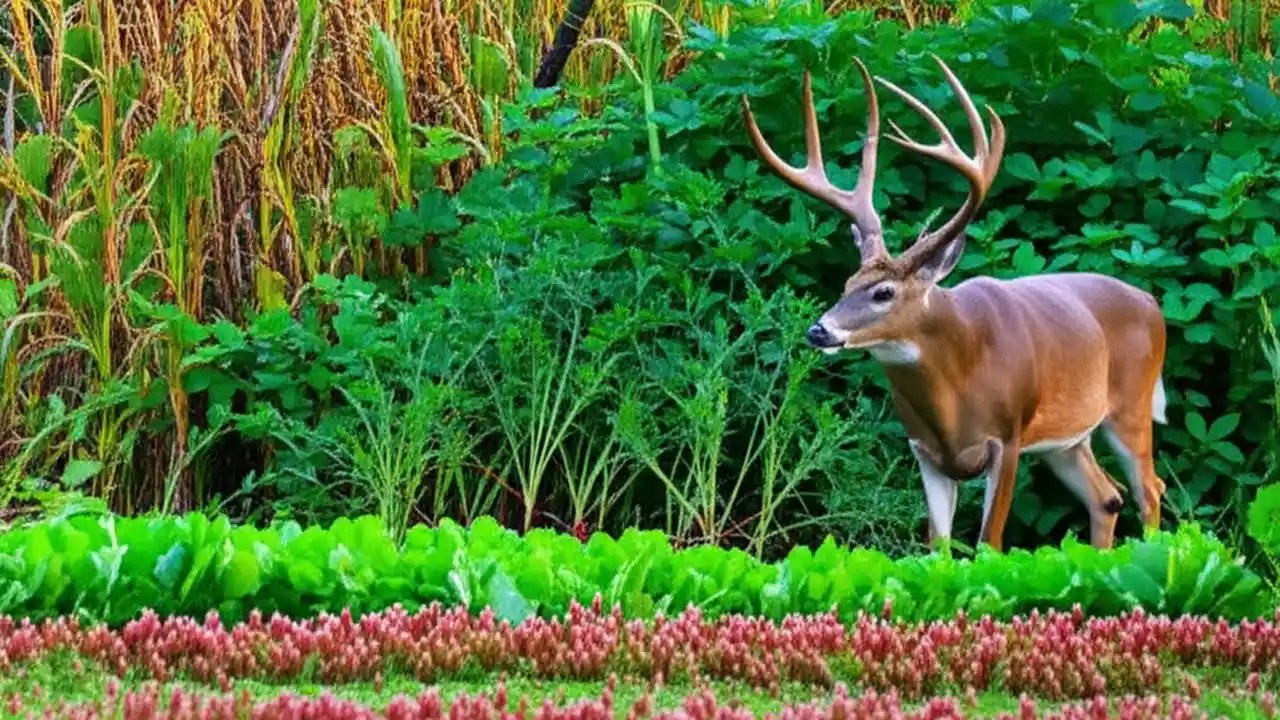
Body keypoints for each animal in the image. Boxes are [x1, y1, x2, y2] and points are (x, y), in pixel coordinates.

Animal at [739, 55, 1169, 552]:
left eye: (884, 293)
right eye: (848, 282)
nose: (818, 330)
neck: (954, 394)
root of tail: (1151, 302)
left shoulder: (1008, 436)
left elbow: (989, 544)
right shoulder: (923, 450)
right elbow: (938, 547)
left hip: (1131, 404)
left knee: (1149, 488)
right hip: (1066, 438)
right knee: (1107, 497)